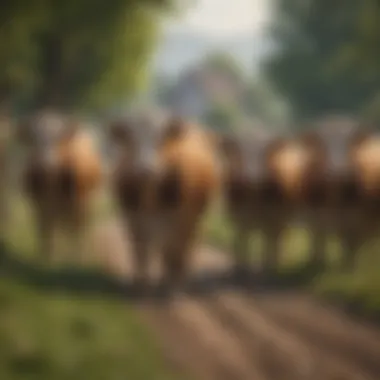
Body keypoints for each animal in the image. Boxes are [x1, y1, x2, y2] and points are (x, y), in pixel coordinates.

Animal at [15, 109, 102, 264]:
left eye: (57, 140)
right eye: (34, 139)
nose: (46, 161)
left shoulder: (79, 205)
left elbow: (77, 234)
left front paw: (77, 259)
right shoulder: (40, 206)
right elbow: (45, 231)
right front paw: (47, 258)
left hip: (88, 203)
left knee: (79, 229)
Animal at [108, 111, 221, 296]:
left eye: (160, 138)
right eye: (132, 139)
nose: (145, 169)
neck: (150, 198)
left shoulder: (181, 220)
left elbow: (174, 252)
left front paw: (173, 290)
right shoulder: (134, 219)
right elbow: (141, 251)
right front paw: (141, 286)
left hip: (196, 219)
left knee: (184, 249)